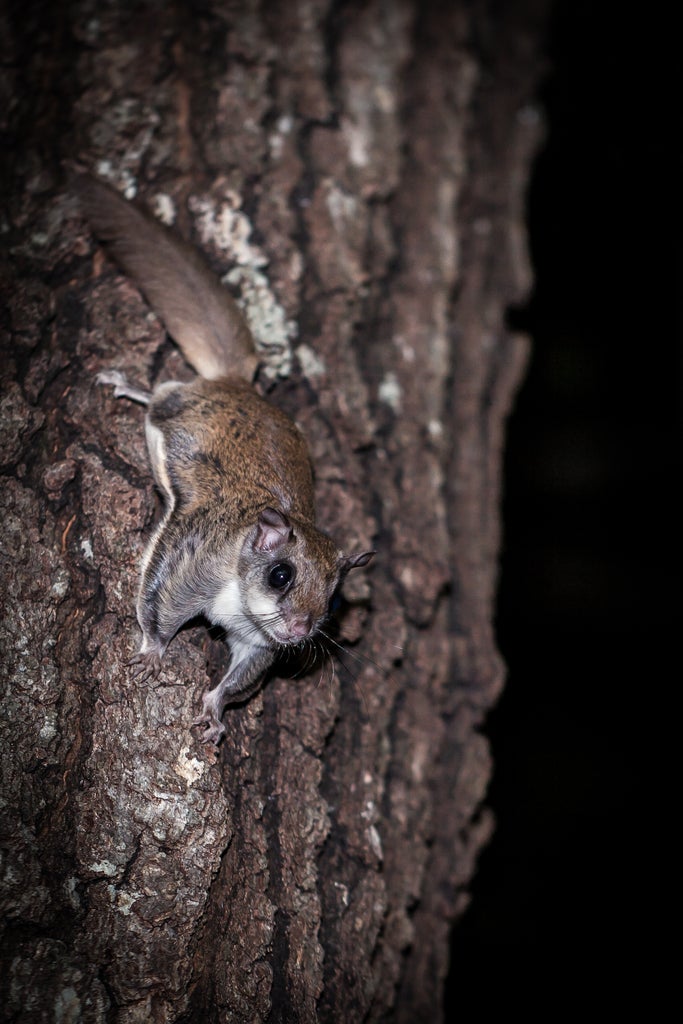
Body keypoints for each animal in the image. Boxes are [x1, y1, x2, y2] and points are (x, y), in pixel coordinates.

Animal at [76, 175, 373, 745]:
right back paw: (129, 385)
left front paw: (214, 711)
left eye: (333, 600)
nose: (301, 630)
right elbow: (159, 602)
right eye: (280, 575)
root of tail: (239, 384)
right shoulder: (196, 561)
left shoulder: (258, 643)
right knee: (162, 394)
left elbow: (241, 678)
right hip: (180, 406)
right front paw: (153, 652)